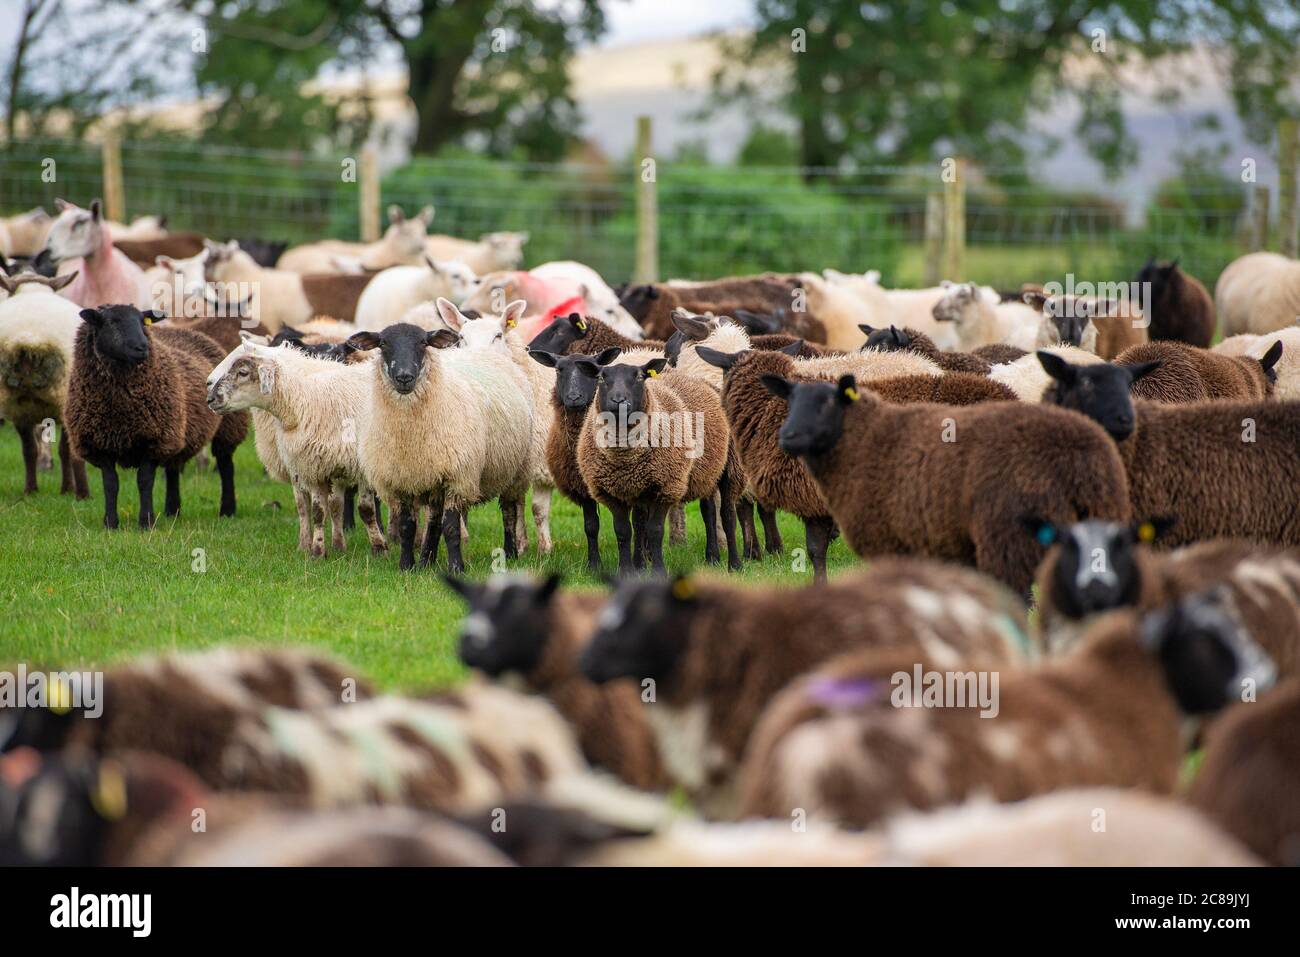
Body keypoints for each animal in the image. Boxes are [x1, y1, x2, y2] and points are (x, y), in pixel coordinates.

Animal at [0, 272, 89, 498]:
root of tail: (31, 339)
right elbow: (54, 451)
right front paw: (66, 489)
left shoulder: (21, 412)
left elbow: (32, 450)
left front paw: (35, 491)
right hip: (62, 394)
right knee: (68, 452)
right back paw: (82, 494)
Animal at [65, 305, 249, 528]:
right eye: (112, 322)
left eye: (142, 321)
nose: (142, 347)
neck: (119, 409)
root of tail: (191, 332)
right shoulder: (100, 445)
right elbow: (110, 484)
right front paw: (110, 523)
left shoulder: (154, 441)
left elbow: (144, 481)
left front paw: (146, 521)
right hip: (177, 430)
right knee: (173, 470)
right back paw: (172, 511)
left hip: (228, 425)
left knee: (226, 466)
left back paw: (227, 510)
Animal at [205, 340, 388, 556]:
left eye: (242, 372)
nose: (210, 396)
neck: (303, 401)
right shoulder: (311, 465)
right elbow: (317, 508)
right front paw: (320, 548)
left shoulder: (359, 465)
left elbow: (365, 510)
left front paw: (379, 548)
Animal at [347, 305, 534, 572]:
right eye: (382, 343)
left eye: (423, 343)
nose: (404, 377)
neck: (409, 435)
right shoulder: (402, 478)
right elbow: (407, 527)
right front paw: (407, 566)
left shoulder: (457, 476)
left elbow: (452, 527)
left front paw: (456, 567)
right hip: (434, 474)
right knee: (434, 519)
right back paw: (427, 560)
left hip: (515, 468)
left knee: (508, 510)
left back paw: (510, 553)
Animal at [446, 299, 555, 555]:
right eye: (461, 337)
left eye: (498, 335)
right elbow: (518, 503)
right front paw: (522, 544)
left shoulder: (538, 464)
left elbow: (536, 509)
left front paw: (544, 549)